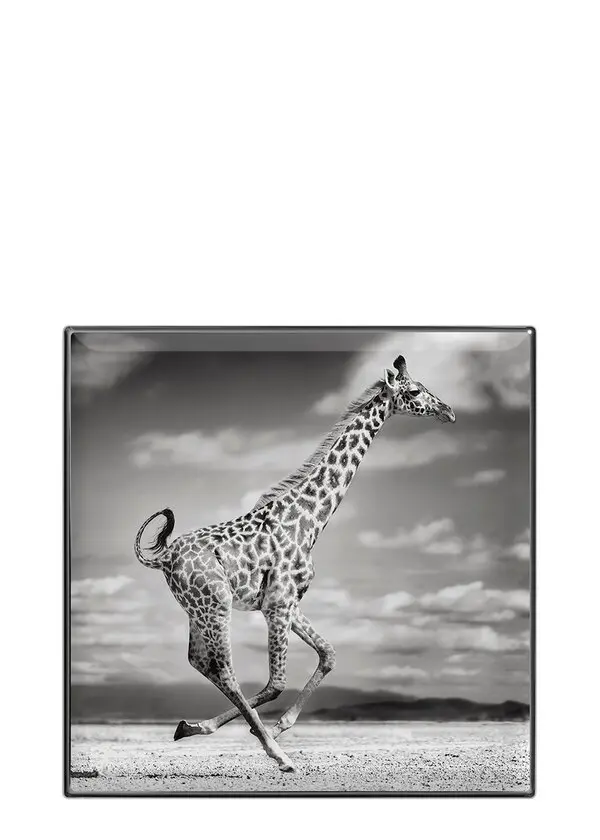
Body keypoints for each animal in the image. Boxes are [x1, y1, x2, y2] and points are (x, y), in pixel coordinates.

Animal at [134, 354, 455, 772]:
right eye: (414, 391)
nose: (449, 411)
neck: (311, 518)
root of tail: (165, 558)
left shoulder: (288, 601)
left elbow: (329, 654)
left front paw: (275, 725)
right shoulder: (278, 603)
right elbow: (276, 683)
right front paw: (272, 735)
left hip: (196, 609)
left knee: (200, 662)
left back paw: (193, 727)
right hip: (216, 604)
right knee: (223, 667)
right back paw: (278, 755)